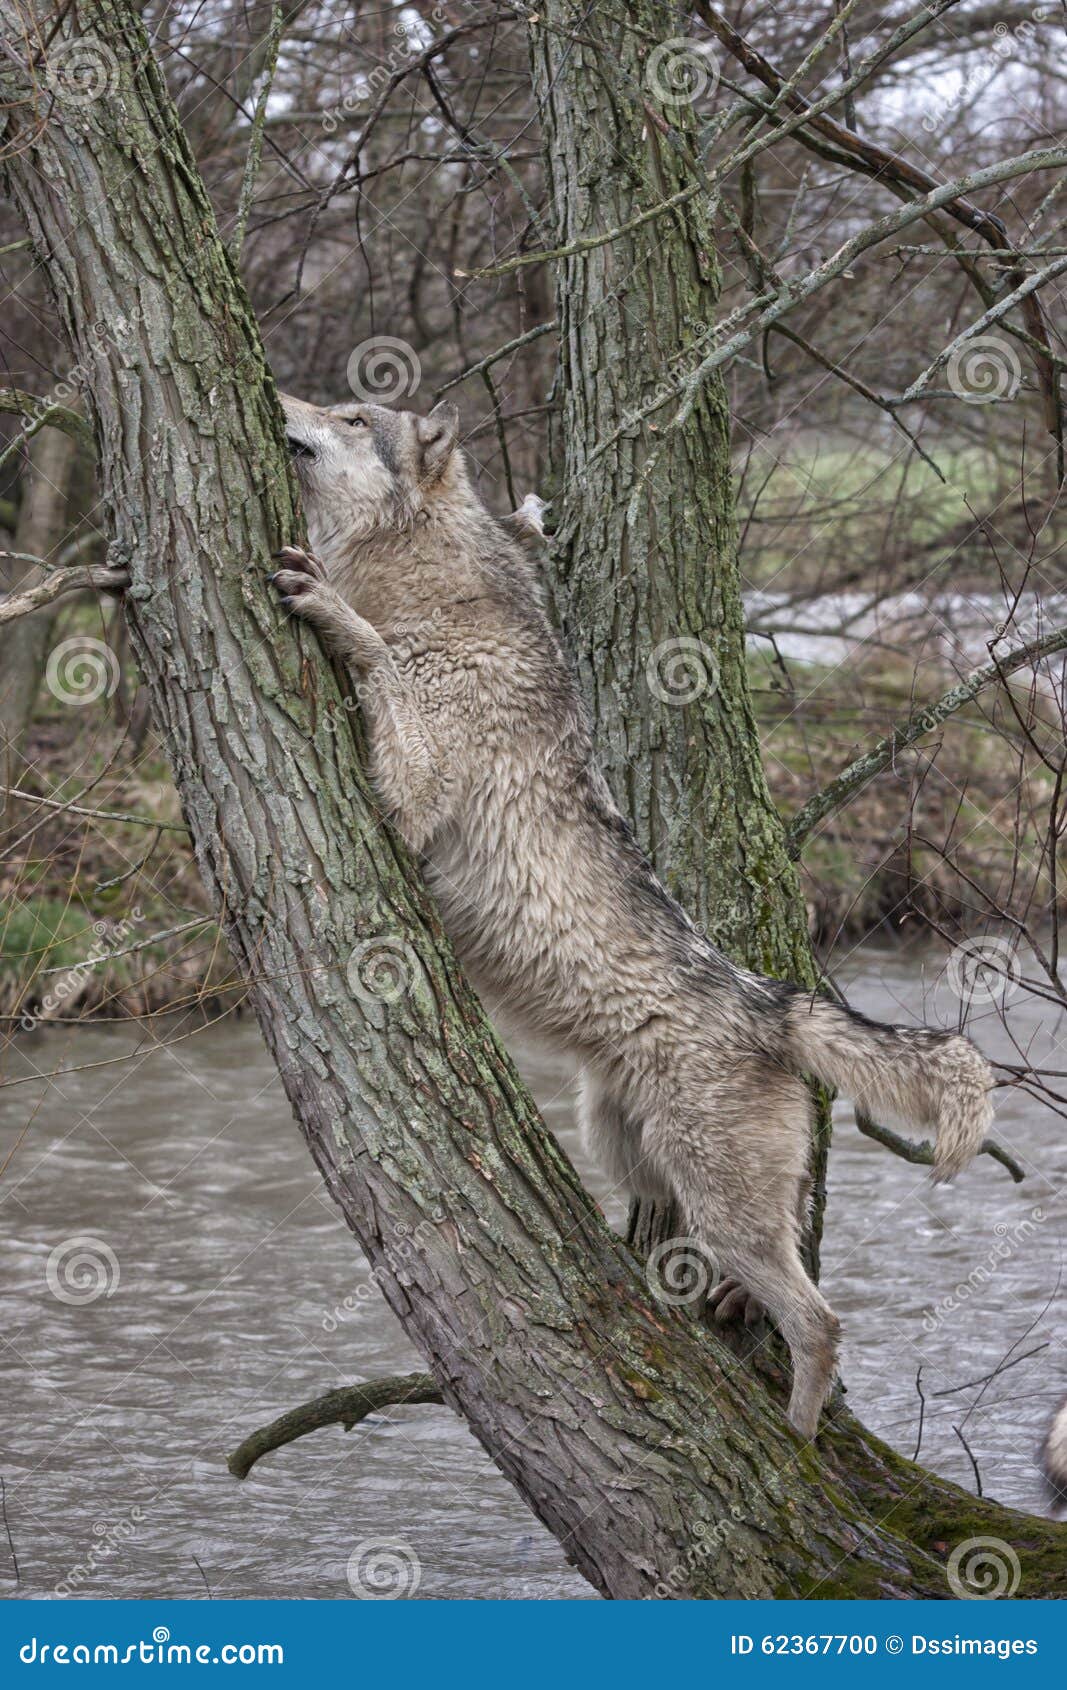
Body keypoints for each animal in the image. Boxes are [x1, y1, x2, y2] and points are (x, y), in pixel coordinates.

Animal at [272, 392, 995, 1440]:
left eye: (354, 414)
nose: (279, 396)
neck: (440, 593)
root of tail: (775, 1001)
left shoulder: (410, 799)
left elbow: (372, 654)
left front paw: (327, 601)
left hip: (713, 1194)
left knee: (819, 1319)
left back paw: (796, 1432)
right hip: (632, 1156)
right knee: (790, 1229)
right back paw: (737, 1311)